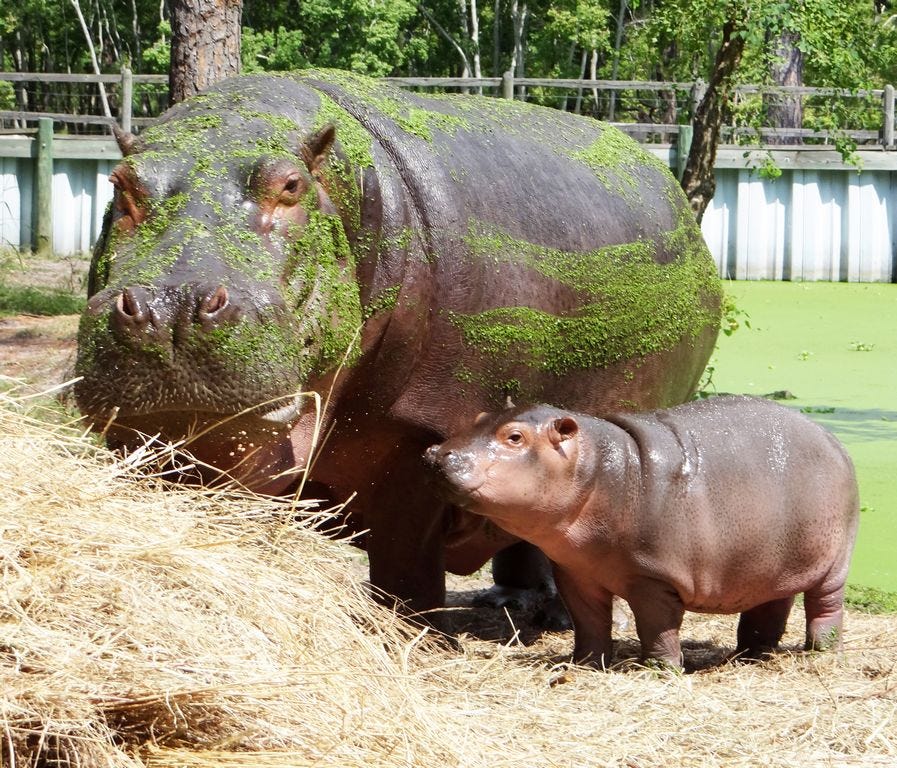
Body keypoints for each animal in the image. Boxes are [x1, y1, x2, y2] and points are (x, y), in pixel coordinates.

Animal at [74, 69, 722, 616]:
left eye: (291, 185)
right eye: (118, 183)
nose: (170, 306)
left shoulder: (418, 439)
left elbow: (405, 563)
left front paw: (406, 628)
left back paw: (542, 612)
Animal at [425, 396, 859, 668]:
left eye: (514, 437)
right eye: (478, 418)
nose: (436, 454)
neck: (598, 471)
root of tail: (831, 438)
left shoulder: (653, 580)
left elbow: (655, 627)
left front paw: (659, 669)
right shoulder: (576, 574)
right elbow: (589, 621)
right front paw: (583, 663)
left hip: (834, 565)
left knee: (825, 607)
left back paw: (820, 652)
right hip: (770, 563)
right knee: (769, 606)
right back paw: (750, 656)